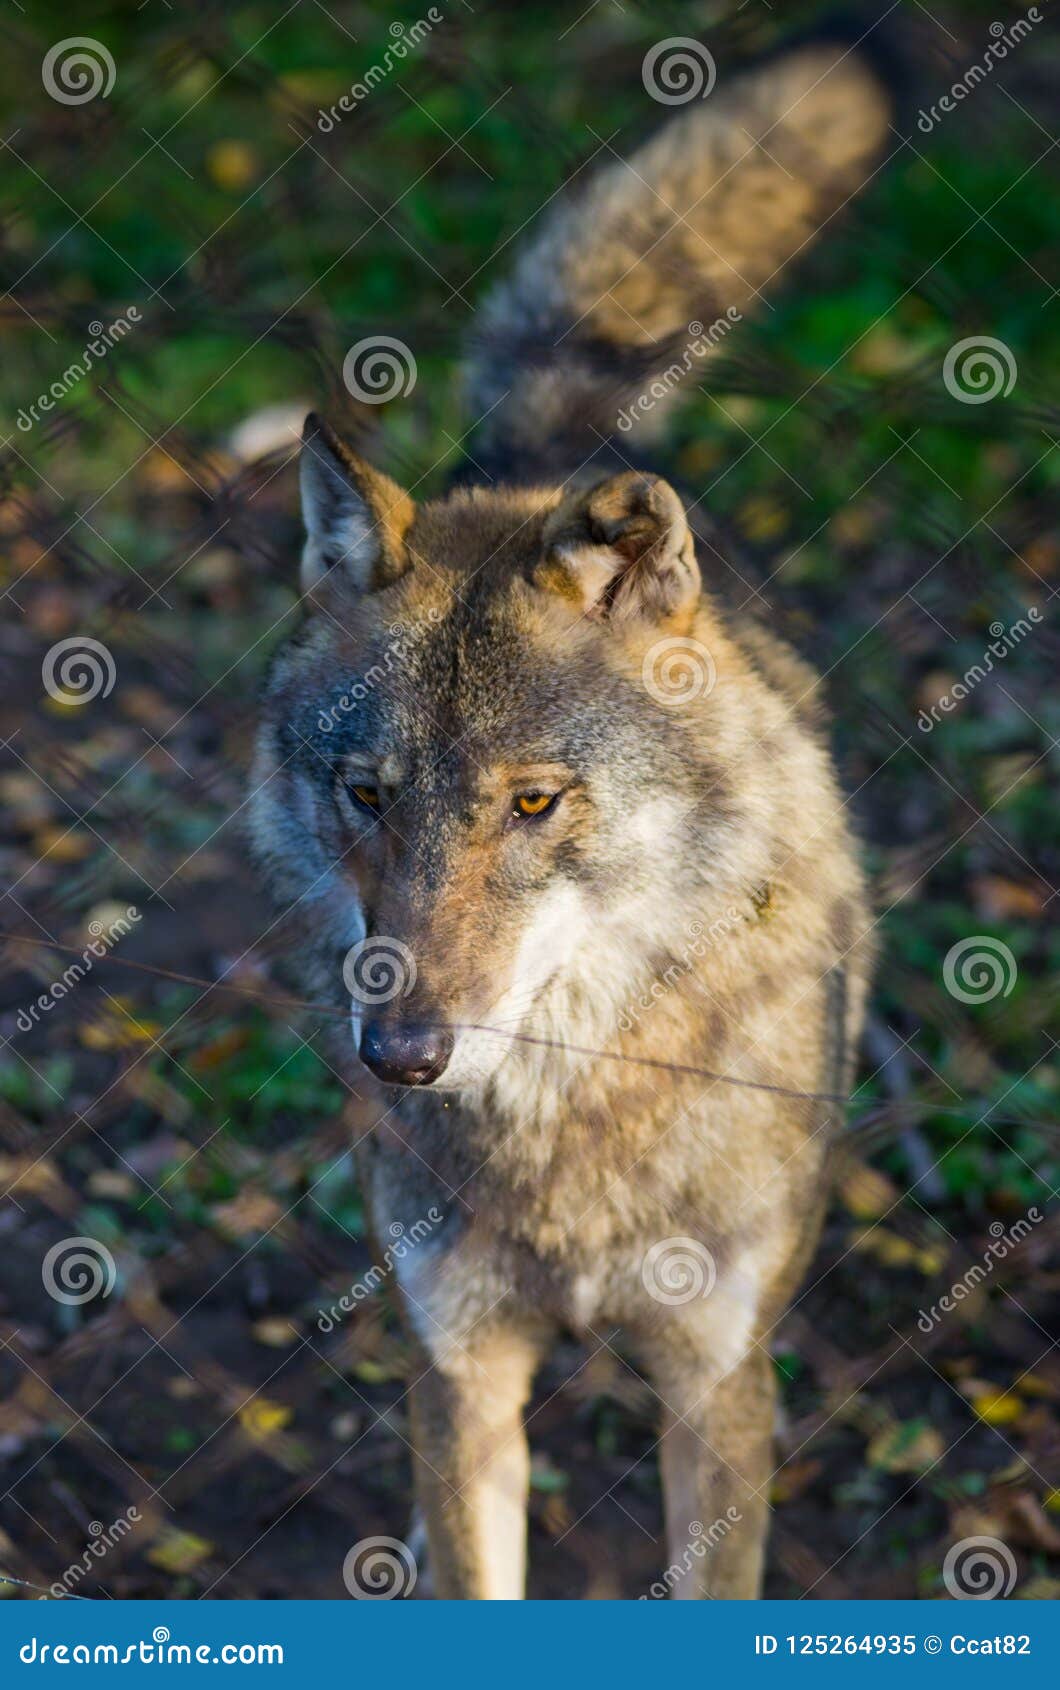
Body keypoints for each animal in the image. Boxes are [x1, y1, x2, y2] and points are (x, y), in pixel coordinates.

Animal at [251, 39, 890, 1598]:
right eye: (368, 794)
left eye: (533, 802)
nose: (404, 1056)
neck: (569, 1118)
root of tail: (541, 466)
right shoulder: (461, 1364)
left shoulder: (720, 1384)